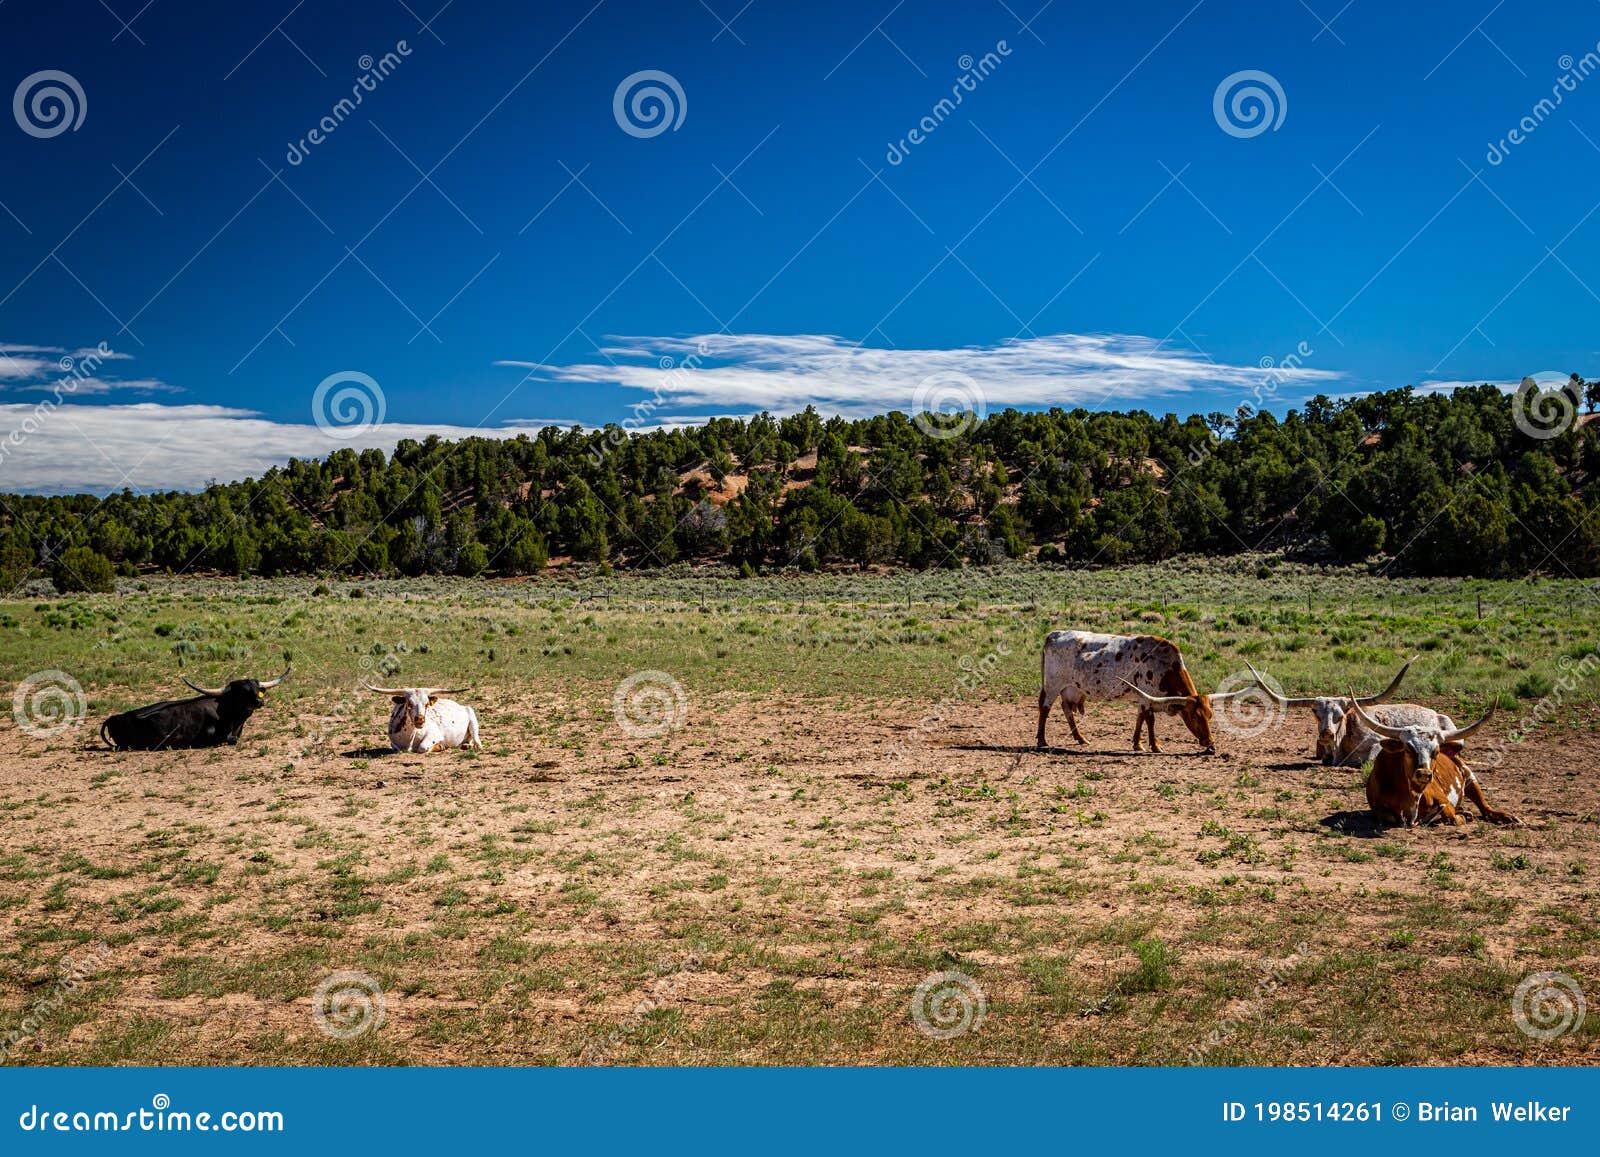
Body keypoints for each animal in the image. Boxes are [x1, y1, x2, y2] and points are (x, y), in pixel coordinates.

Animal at [1036, 631, 1251, 753]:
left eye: (1210, 715)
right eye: (1193, 717)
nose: (1210, 744)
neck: (1164, 665)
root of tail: (1053, 634)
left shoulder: (1143, 697)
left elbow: (1140, 718)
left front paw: (1137, 744)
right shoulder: (1148, 696)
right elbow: (1150, 720)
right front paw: (1155, 745)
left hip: (1071, 688)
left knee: (1066, 709)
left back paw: (1080, 738)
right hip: (1053, 684)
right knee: (1045, 707)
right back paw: (1042, 740)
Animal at [1345, 697, 1517, 828]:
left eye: (1436, 751)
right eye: (1408, 749)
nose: (1424, 774)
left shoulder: (1444, 801)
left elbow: (1452, 817)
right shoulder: (1379, 809)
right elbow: (1389, 816)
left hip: (1469, 777)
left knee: (1484, 806)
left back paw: (1506, 817)